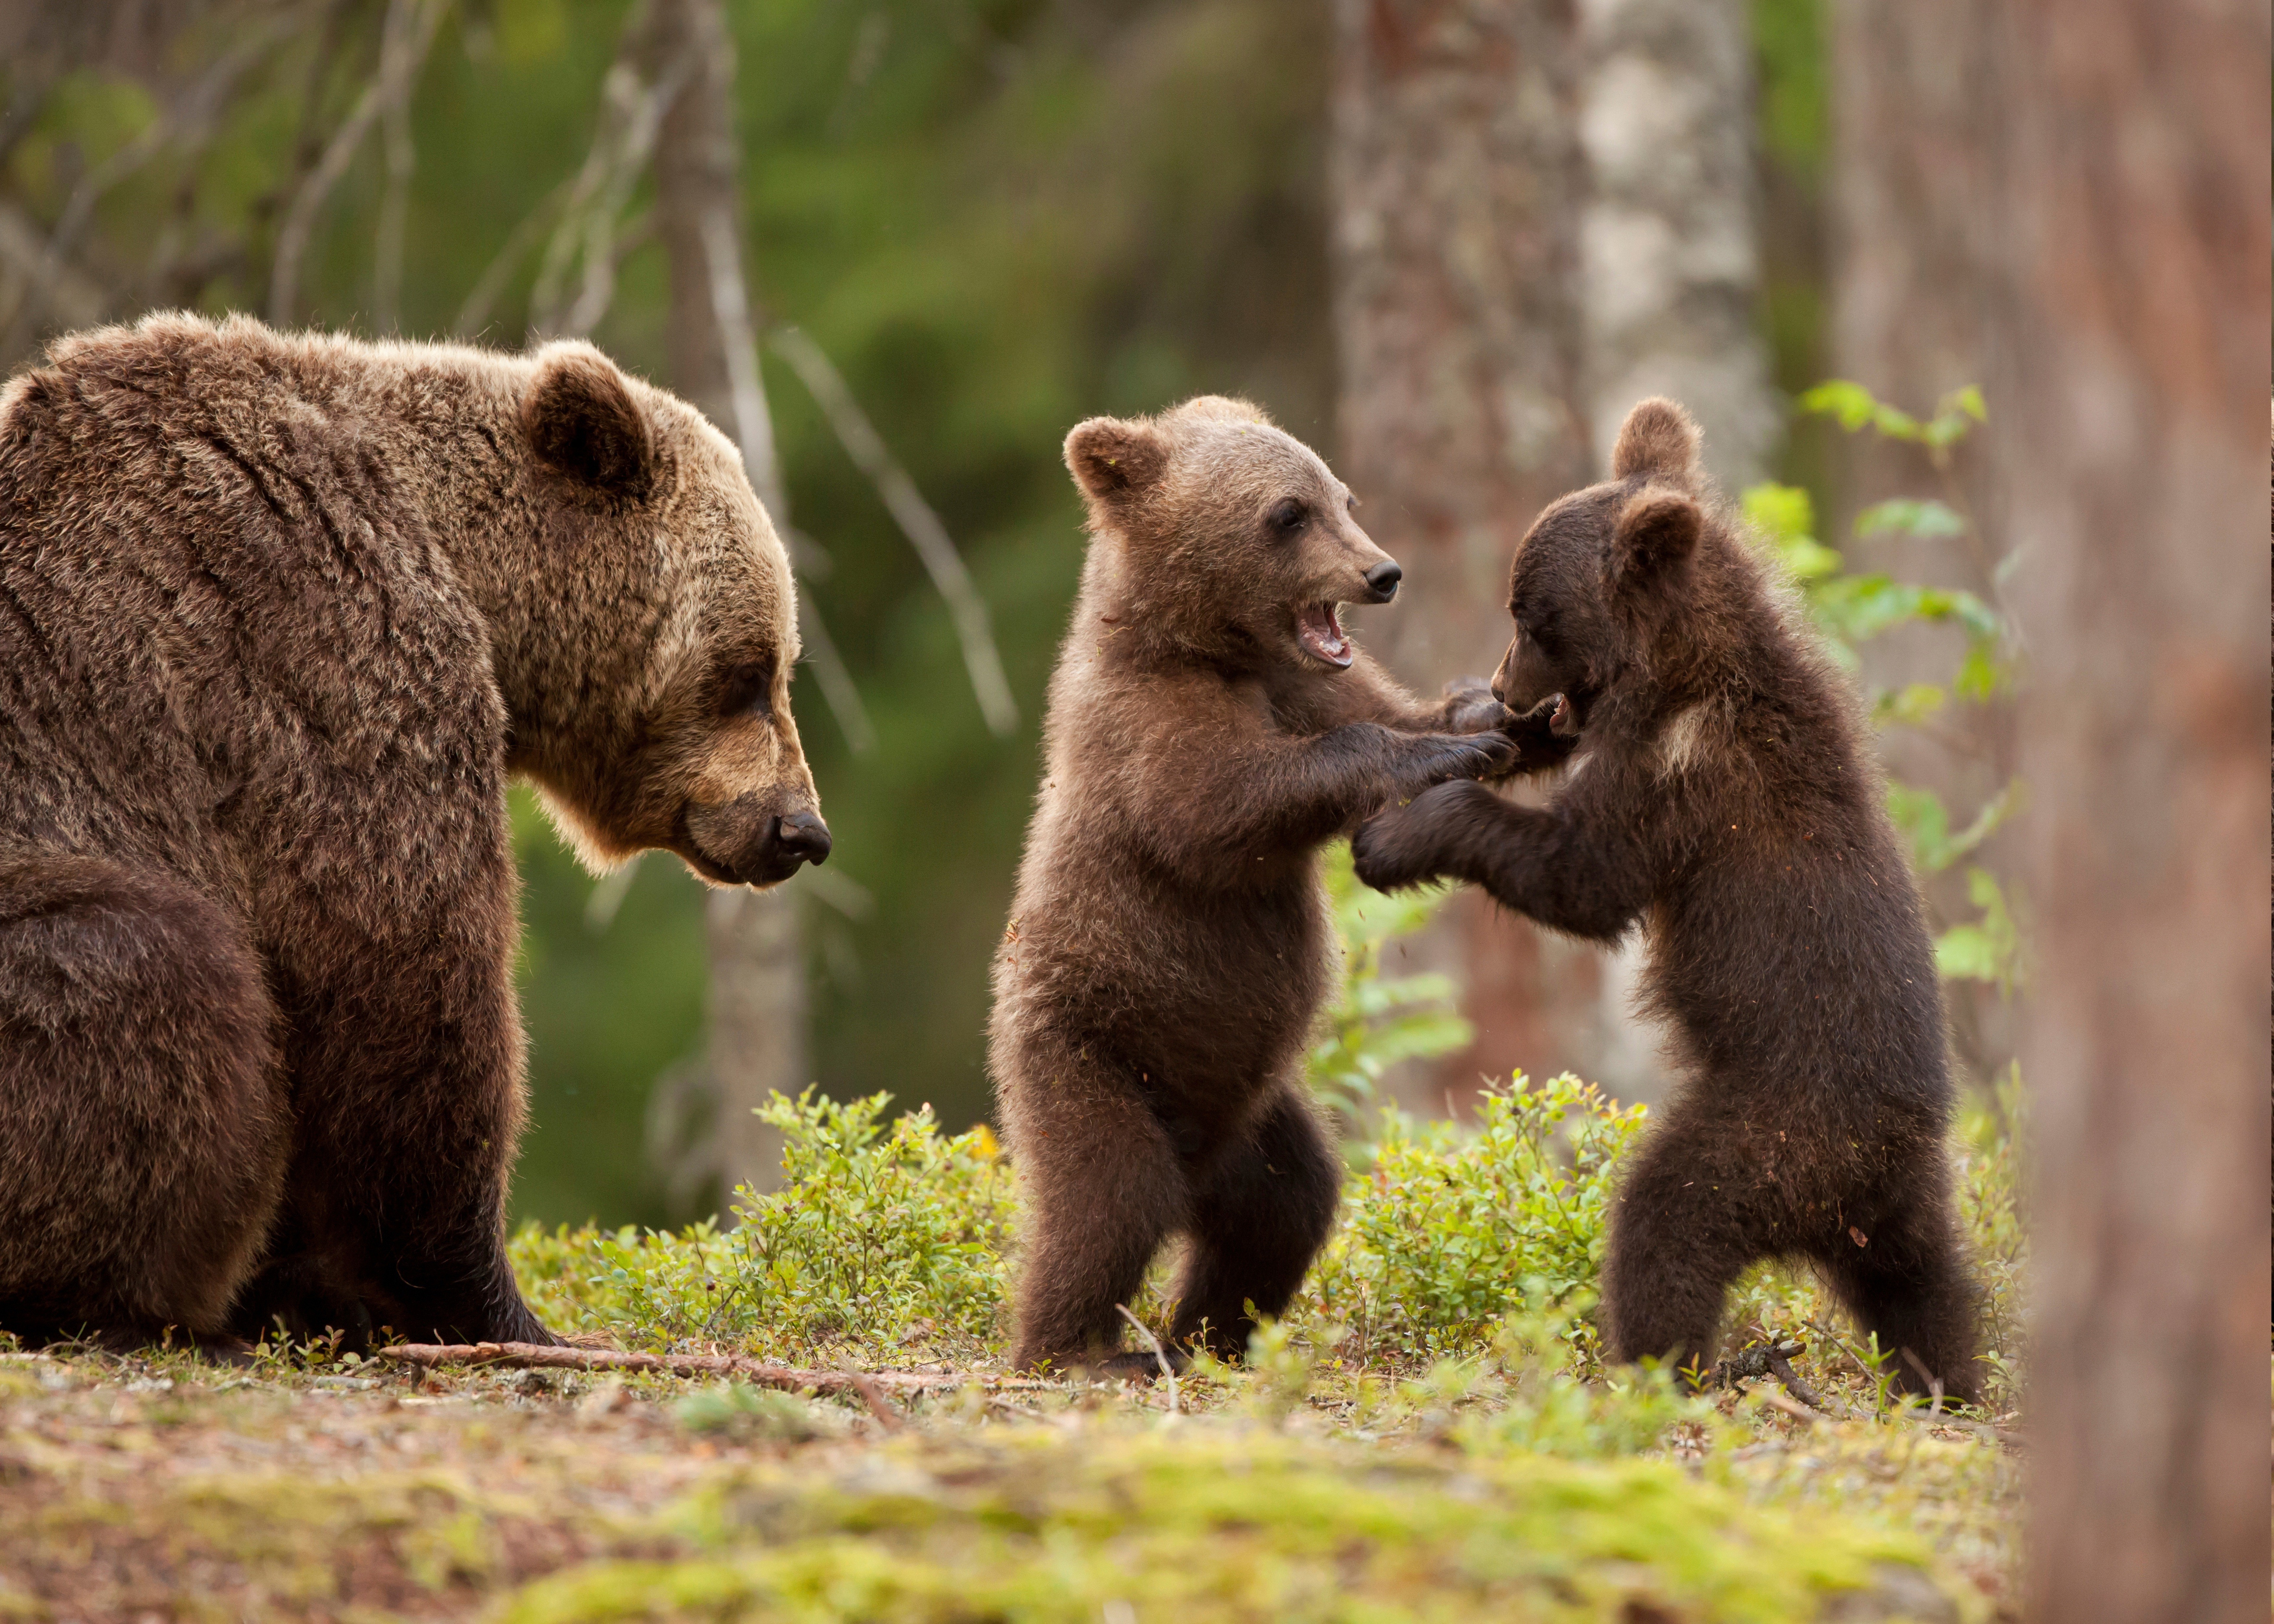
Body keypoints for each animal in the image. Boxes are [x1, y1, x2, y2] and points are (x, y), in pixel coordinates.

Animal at [0, 313, 830, 1354]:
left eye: (779, 664)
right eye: (750, 672)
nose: (801, 829)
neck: (470, 568)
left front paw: (317, 1292)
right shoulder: (318, 646)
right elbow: (402, 974)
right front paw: (491, 1304)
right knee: (153, 962)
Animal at [989, 394, 1551, 1375]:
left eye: (1343, 494)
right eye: (1288, 513)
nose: (1383, 572)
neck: (1213, 649)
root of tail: (1198, 1159)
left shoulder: (1312, 681)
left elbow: (1401, 711)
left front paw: (1509, 719)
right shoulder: (1143, 729)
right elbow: (1221, 808)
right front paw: (1436, 753)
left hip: (1254, 1114)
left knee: (1288, 1206)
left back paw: (1209, 1335)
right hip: (1088, 1052)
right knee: (1108, 1200)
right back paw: (1078, 1348)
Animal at [1351, 397, 1982, 1406]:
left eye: (1530, 616)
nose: (1504, 683)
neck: (1678, 673)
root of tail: (1864, 1172)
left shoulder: (1684, 780)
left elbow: (1583, 876)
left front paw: (1398, 835)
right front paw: (1474, 730)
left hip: (1770, 1134)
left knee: (1666, 1220)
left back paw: (1661, 1364)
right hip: (1901, 1204)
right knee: (1930, 1288)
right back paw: (1948, 1382)